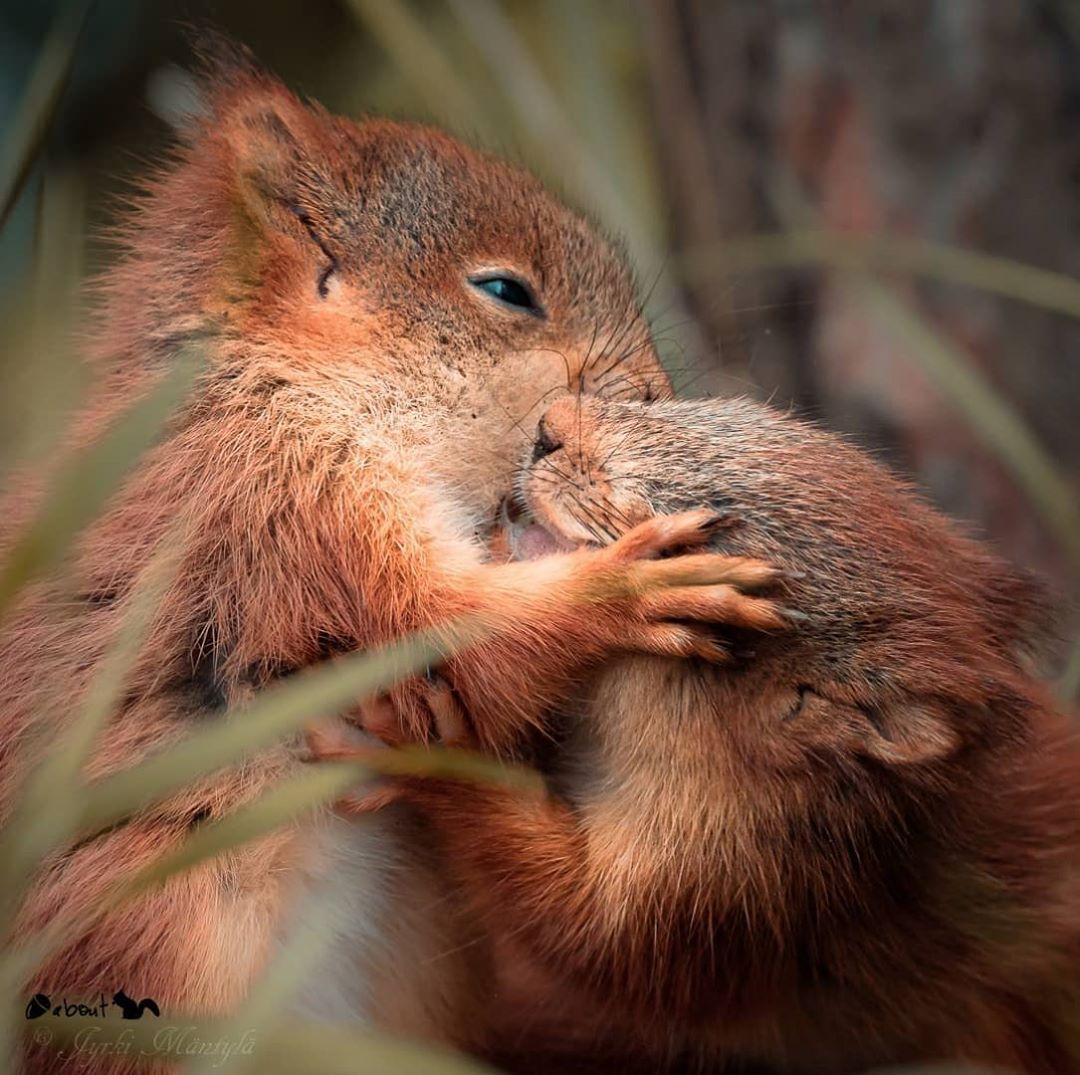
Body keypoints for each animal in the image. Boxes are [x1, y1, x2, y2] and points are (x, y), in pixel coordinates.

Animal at [1, 41, 786, 1073]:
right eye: (505, 291)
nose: (653, 395)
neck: (287, 381)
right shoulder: (282, 510)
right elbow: (445, 631)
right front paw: (635, 585)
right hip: (162, 944)